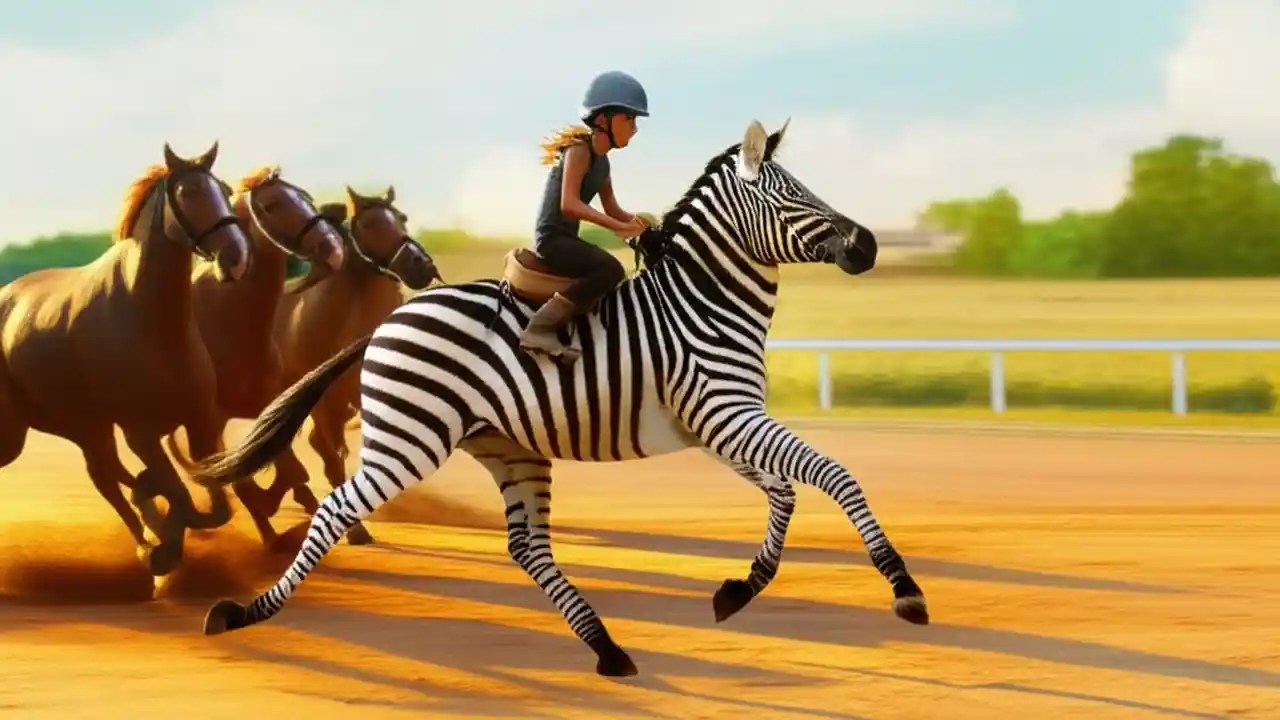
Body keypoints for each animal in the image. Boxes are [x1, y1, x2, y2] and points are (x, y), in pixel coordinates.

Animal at [0, 142, 250, 576]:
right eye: (189, 192)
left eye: (224, 188)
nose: (236, 257)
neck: (149, 320)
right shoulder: (140, 432)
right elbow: (180, 494)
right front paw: (163, 545)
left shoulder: (200, 421)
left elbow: (214, 505)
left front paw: (161, 532)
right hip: (20, 433)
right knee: (107, 479)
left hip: (84, 426)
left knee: (104, 476)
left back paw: (146, 533)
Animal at [160, 166, 347, 546]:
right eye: (273, 204)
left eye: (305, 197)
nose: (334, 249)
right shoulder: (211, 421)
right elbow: (245, 477)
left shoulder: (271, 403)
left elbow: (290, 469)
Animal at [195, 118, 929, 677]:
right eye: (790, 197)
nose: (866, 245)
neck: (704, 305)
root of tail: (388, 321)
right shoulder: (726, 414)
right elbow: (834, 476)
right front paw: (905, 590)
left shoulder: (719, 425)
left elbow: (785, 492)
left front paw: (738, 591)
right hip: (411, 440)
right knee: (334, 510)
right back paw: (244, 612)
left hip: (506, 446)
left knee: (528, 547)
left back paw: (608, 650)